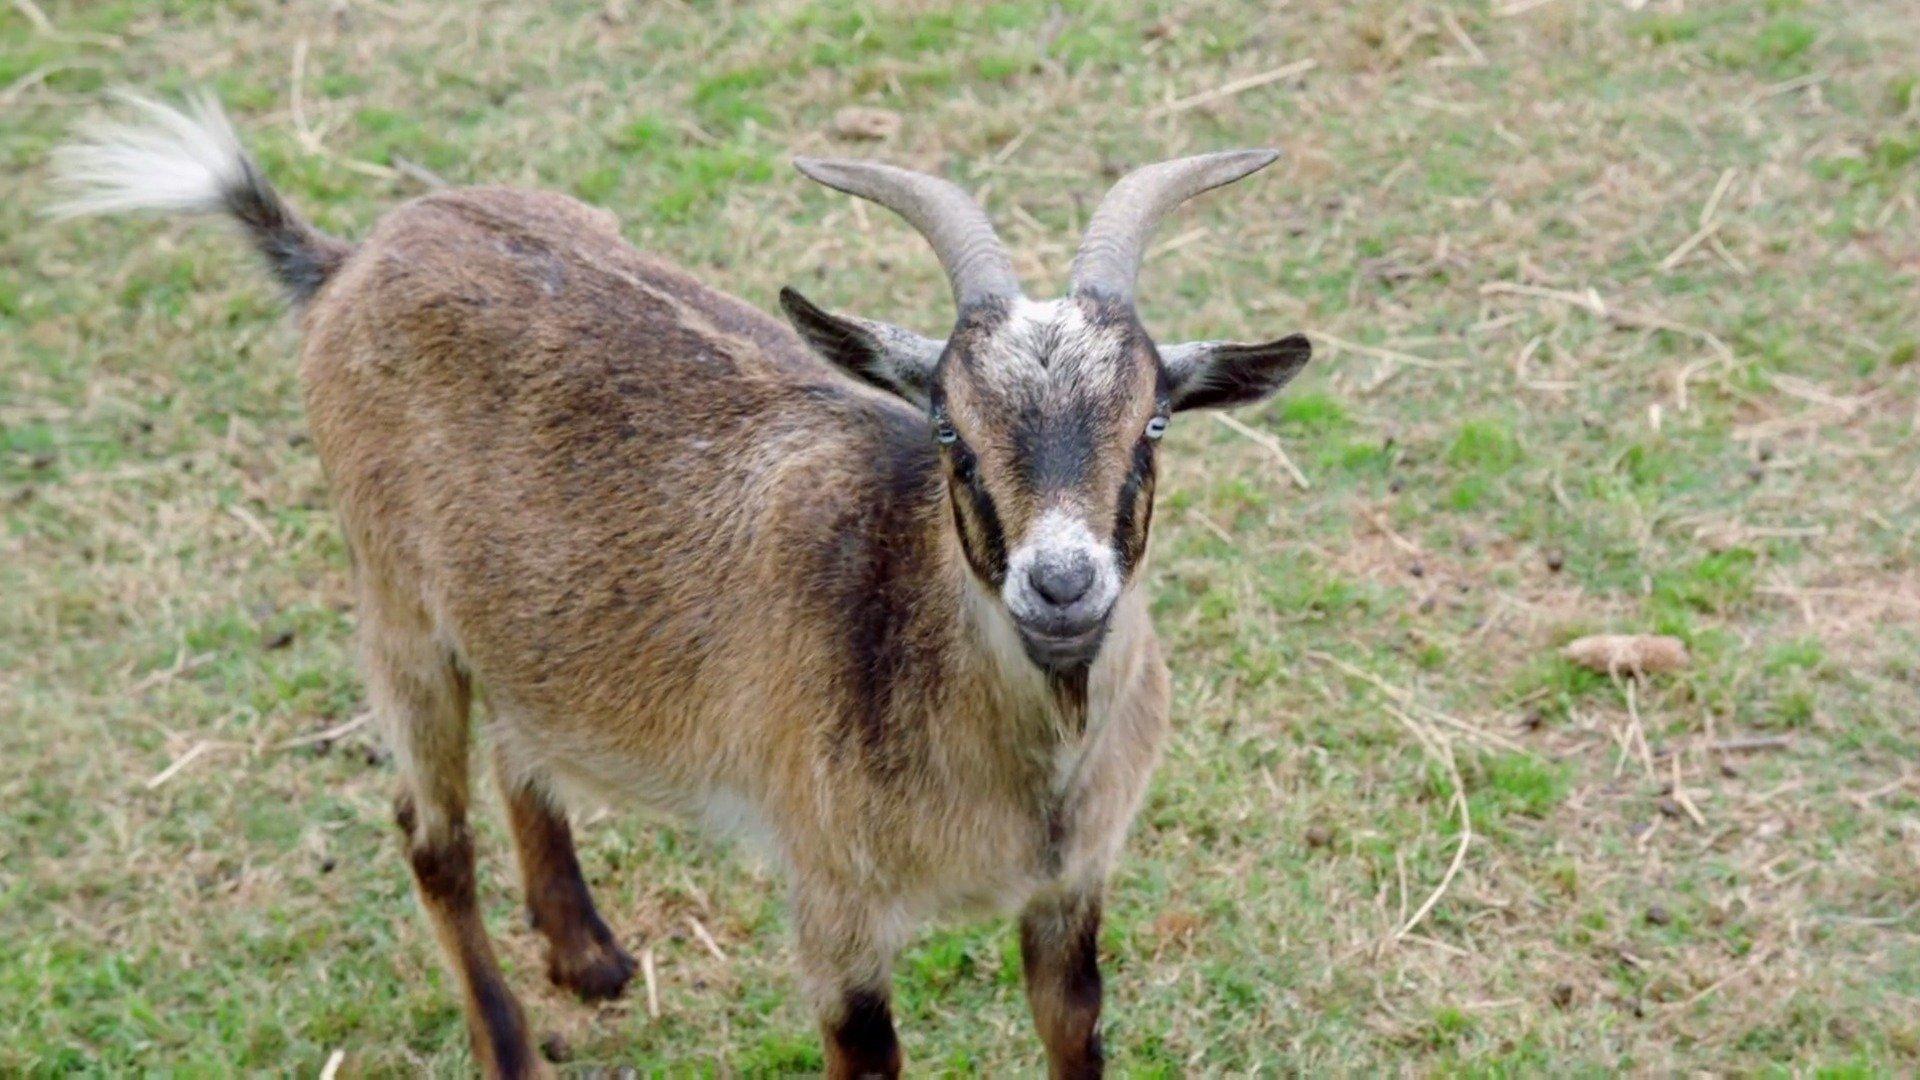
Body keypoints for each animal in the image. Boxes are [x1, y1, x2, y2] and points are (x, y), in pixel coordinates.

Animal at [54, 92, 1313, 1078]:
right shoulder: (833, 902)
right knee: (428, 834)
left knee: (521, 735)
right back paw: (512, 1048)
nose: (1061, 583)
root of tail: (347, 260)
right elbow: (866, 1051)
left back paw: (587, 953)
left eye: (1153, 422)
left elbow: (1075, 1032)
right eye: (951, 429)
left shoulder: (1071, 891)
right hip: (394, 604)